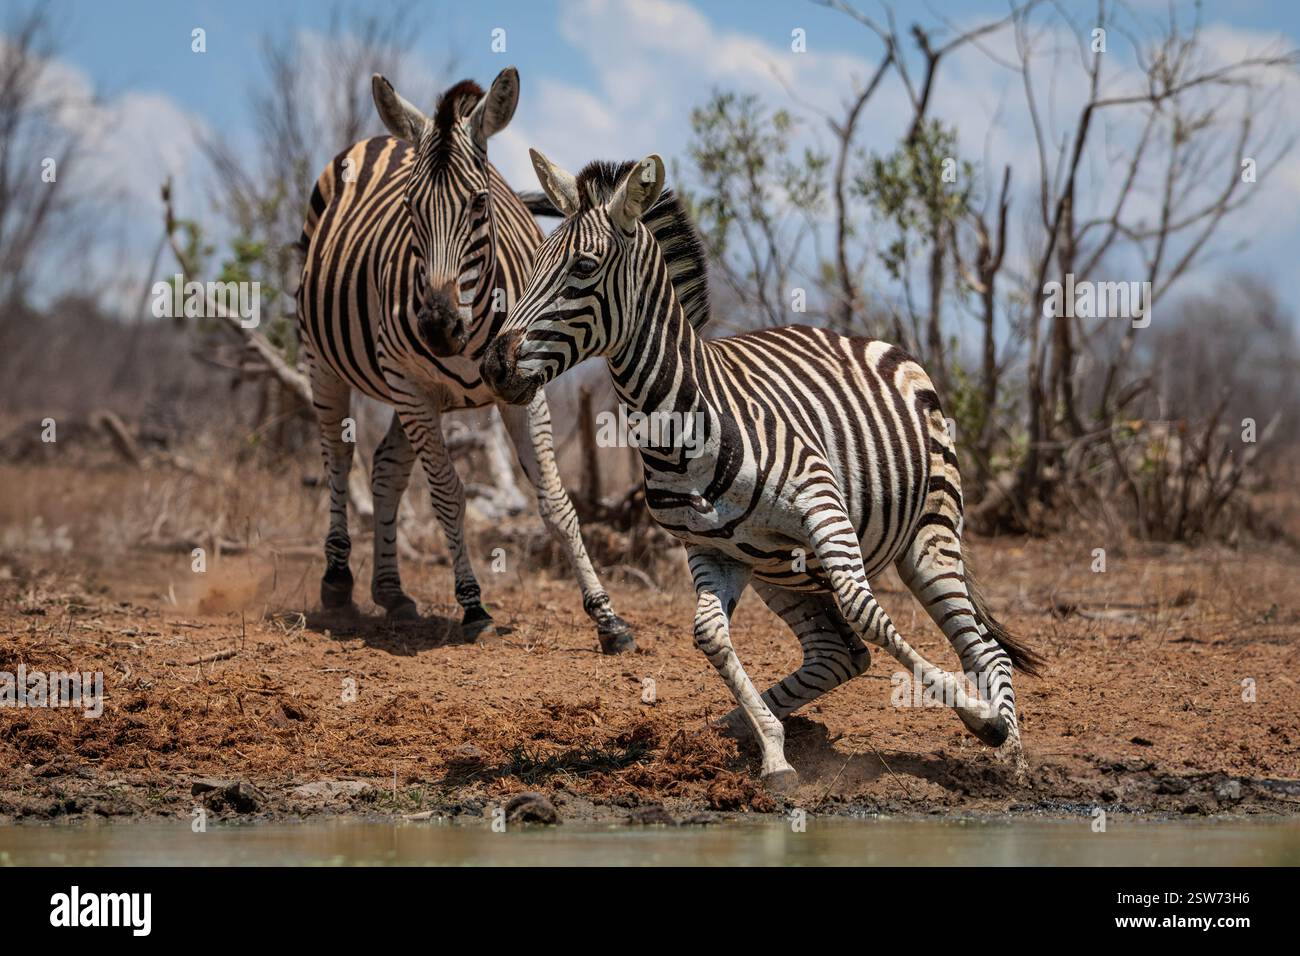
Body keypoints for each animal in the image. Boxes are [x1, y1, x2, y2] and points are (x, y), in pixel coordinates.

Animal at [296, 68, 635, 654]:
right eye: (409, 206)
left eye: (479, 203)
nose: (436, 326)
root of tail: (382, 137)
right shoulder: (411, 386)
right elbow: (449, 495)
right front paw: (473, 603)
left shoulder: (523, 388)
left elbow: (555, 499)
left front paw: (605, 615)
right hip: (331, 363)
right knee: (339, 455)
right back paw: (338, 581)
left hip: (408, 397)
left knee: (386, 468)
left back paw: (391, 591)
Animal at [482, 152, 1042, 789]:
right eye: (534, 264)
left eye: (582, 267)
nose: (494, 365)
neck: (677, 426)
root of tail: (880, 344)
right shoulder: (710, 549)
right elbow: (708, 635)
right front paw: (773, 752)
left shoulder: (821, 505)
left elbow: (866, 610)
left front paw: (977, 714)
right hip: (781, 571)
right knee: (839, 653)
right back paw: (732, 725)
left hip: (928, 534)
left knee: (982, 649)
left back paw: (1009, 750)